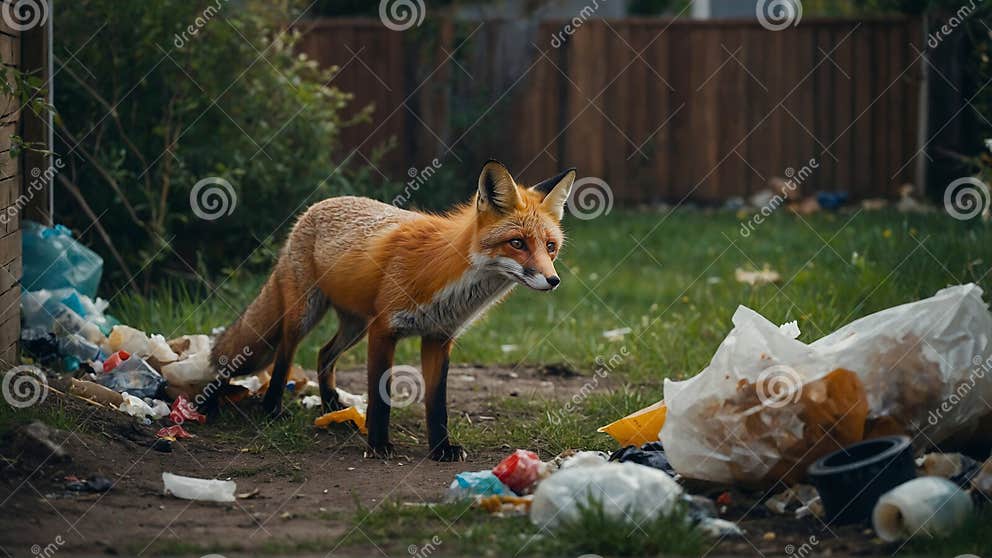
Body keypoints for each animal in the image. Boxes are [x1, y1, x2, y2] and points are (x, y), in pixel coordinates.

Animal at [206, 161, 576, 461]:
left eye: (550, 247)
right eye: (517, 243)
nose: (553, 280)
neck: (452, 283)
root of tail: (313, 209)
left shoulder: (438, 338)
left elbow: (437, 404)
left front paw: (441, 449)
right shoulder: (385, 329)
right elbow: (380, 396)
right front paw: (379, 444)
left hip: (355, 325)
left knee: (324, 354)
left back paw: (331, 407)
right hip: (306, 315)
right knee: (285, 357)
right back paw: (272, 409)